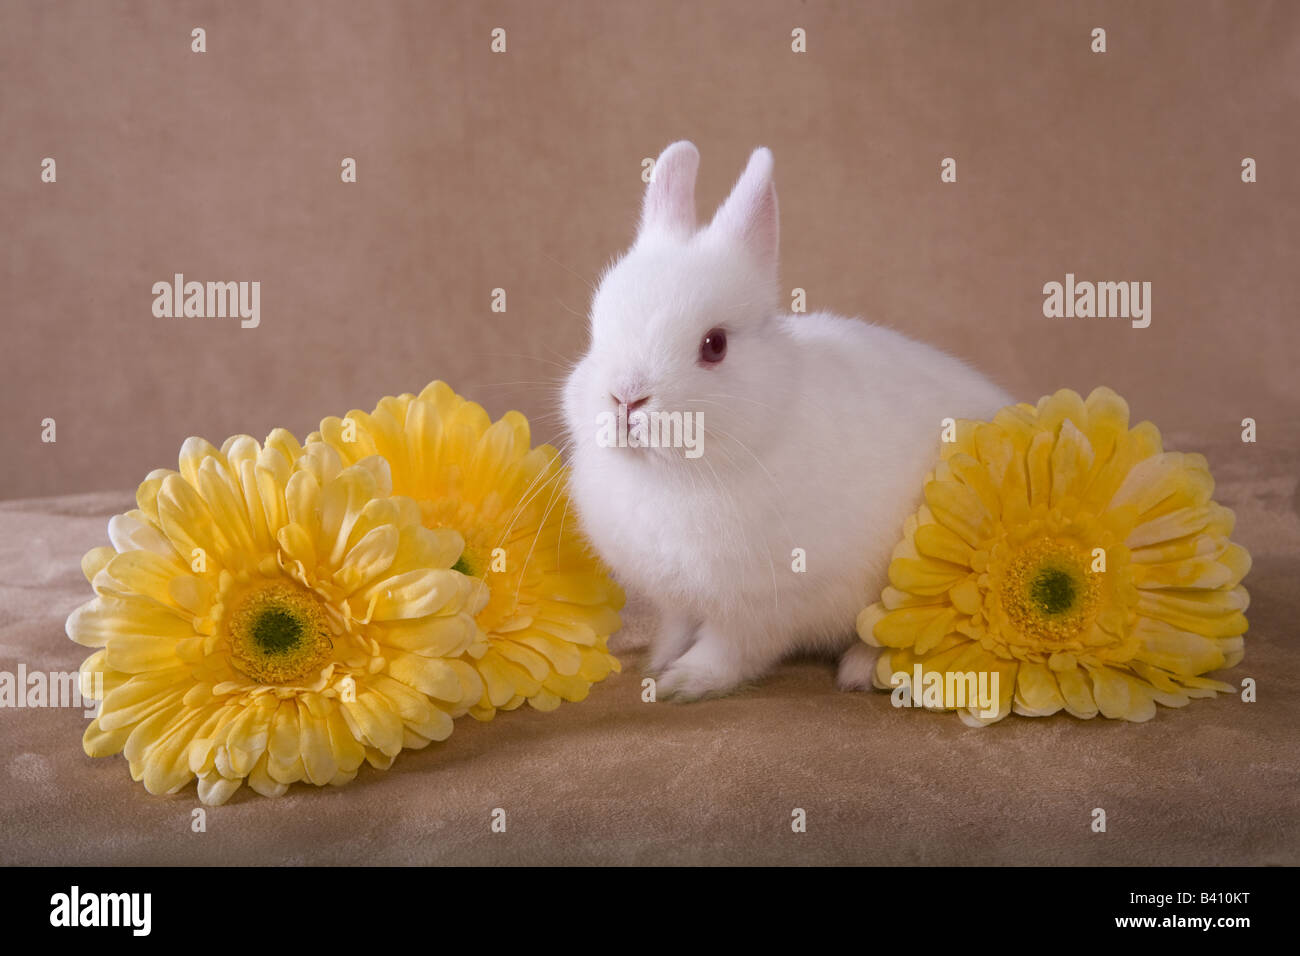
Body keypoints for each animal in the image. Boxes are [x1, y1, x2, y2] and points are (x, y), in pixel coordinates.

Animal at [561, 141, 1012, 700]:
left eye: (714, 345)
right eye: (596, 329)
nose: (626, 399)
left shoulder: (762, 607)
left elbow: (730, 650)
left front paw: (684, 682)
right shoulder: (679, 600)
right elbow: (678, 626)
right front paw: (657, 661)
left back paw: (860, 670)